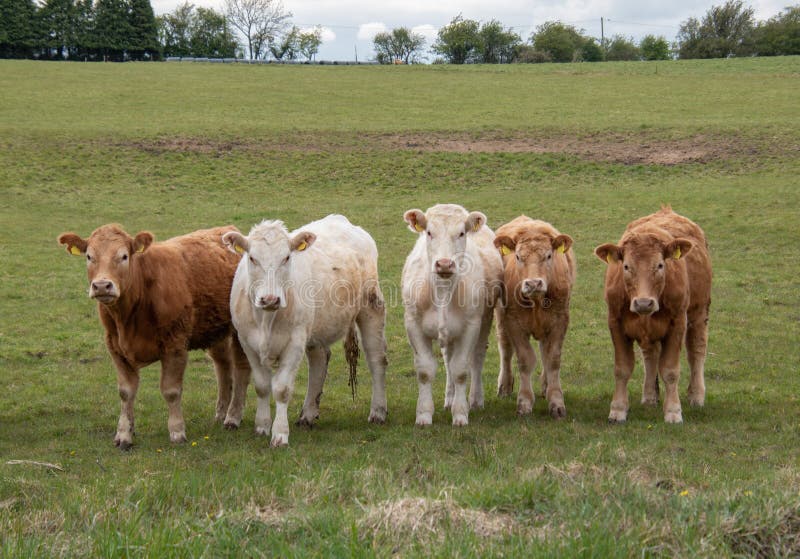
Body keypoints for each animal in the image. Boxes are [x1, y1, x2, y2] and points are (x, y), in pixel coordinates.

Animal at [57, 224, 251, 449]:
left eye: (124, 256)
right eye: (89, 256)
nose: (102, 286)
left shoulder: (175, 345)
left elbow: (171, 390)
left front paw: (177, 431)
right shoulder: (115, 347)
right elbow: (126, 392)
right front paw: (124, 434)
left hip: (240, 331)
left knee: (241, 370)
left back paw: (232, 417)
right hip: (215, 330)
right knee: (223, 366)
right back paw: (220, 413)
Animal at [223, 214, 388, 448]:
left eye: (286, 257)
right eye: (252, 258)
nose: (270, 299)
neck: (266, 319)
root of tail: (342, 220)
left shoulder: (294, 343)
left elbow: (282, 389)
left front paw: (280, 434)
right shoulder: (247, 343)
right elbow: (262, 386)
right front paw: (262, 426)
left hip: (371, 305)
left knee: (376, 360)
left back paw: (378, 412)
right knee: (319, 360)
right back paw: (308, 414)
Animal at [401, 204, 503, 427]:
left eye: (461, 233)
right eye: (429, 232)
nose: (445, 264)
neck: (442, 291)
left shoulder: (470, 327)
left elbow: (461, 370)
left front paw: (460, 413)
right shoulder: (413, 324)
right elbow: (425, 370)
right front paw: (424, 414)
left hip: (484, 321)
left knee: (477, 358)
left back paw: (475, 399)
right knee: (448, 359)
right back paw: (449, 398)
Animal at [493, 216, 576, 419]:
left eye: (548, 256)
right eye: (517, 257)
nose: (533, 283)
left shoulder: (560, 320)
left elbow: (552, 359)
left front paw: (556, 401)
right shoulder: (513, 323)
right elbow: (524, 360)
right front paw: (524, 402)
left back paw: (545, 386)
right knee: (505, 349)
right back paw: (504, 386)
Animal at [594, 206, 712, 424]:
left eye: (660, 265)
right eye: (626, 266)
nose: (643, 303)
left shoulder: (677, 323)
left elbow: (671, 371)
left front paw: (673, 411)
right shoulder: (615, 322)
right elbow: (622, 369)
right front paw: (618, 409)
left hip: (700, 312)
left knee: (697, 350)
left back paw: (697, 395)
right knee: (651, 356)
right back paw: (649, 395)